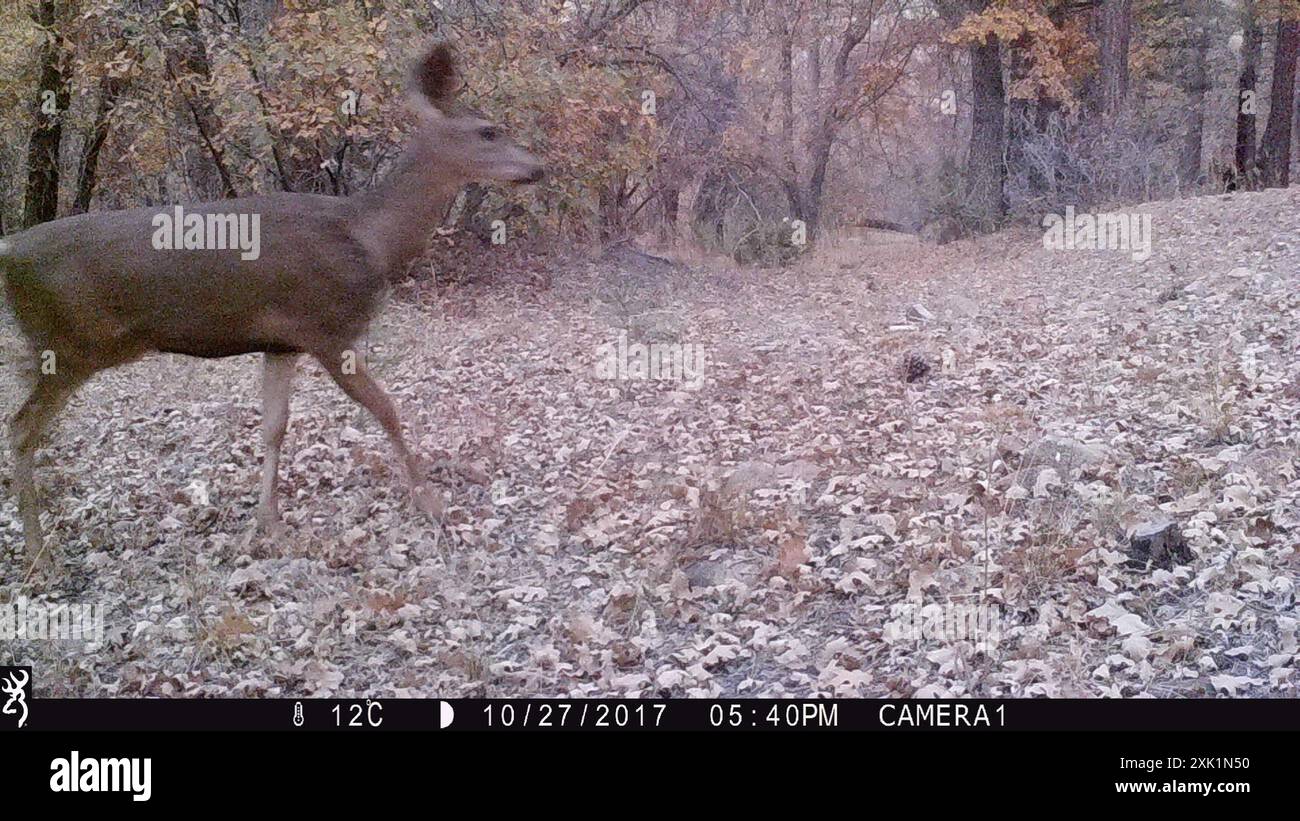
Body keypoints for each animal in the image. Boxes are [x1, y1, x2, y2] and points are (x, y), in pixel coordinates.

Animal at [0, 43, 543, 570]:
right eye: (488, 131)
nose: (539, 167)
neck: (370, 238)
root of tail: (8, 251)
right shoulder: (328, 327)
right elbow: (386, 408)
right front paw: (431, 502)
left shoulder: (282, 342)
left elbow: (273, 428)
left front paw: (269, 522)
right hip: (69, 343)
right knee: (22, 427)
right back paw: (39, 556)